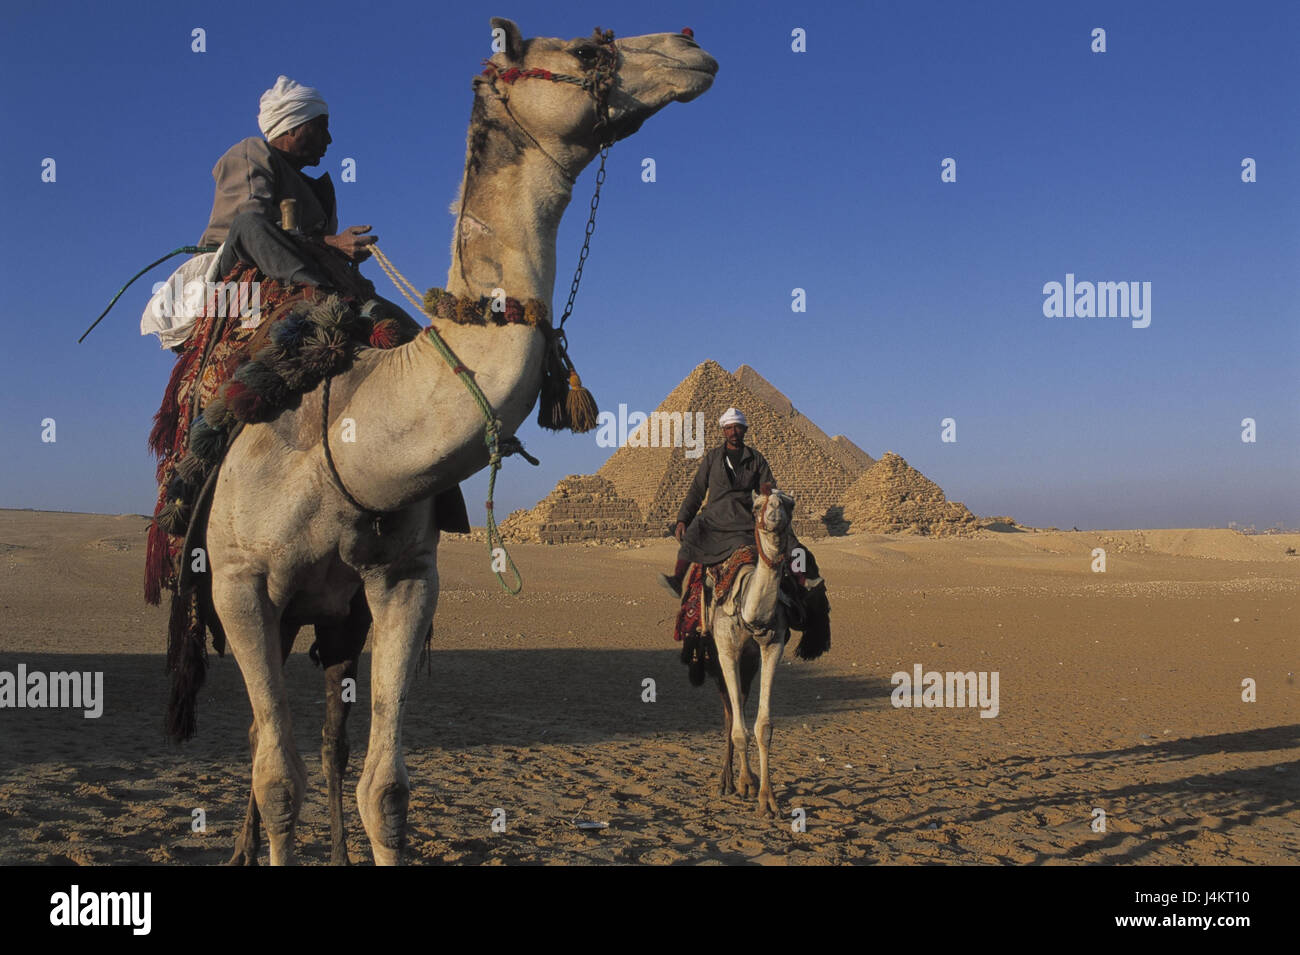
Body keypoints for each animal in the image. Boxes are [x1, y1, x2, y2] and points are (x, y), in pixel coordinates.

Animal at [187, 18, 717, 865]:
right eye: (583, 50)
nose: (689, 42)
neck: (345, 436)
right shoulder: (241, 583)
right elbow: (278, 781)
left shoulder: (405, 578)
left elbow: (385, 788)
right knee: (267, 749)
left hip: (334, 616)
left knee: (327, 743)